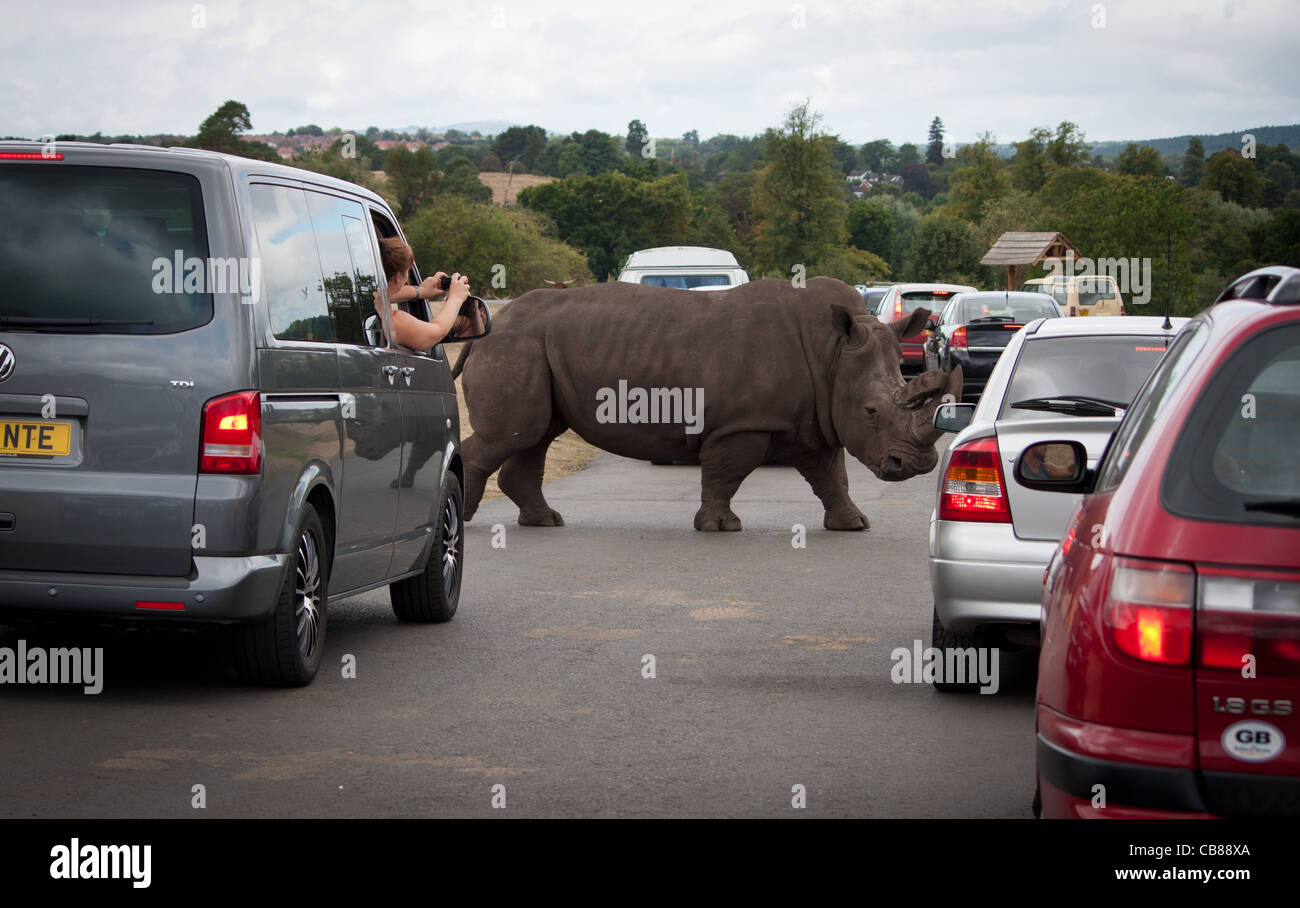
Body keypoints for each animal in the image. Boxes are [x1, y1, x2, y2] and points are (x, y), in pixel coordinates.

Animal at [452, 277, 962, 531]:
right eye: (872, 411)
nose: (914, 465)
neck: (832, 354)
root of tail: (489, 325)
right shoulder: (743, 423)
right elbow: (727, 472)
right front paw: (719, 526)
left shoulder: (816, 417)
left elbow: (830, 473)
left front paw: (854, 525)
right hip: (517, 345)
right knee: (514, 433)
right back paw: (468, 520)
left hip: (532, 347)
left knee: (535, 434)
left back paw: (546, 523)